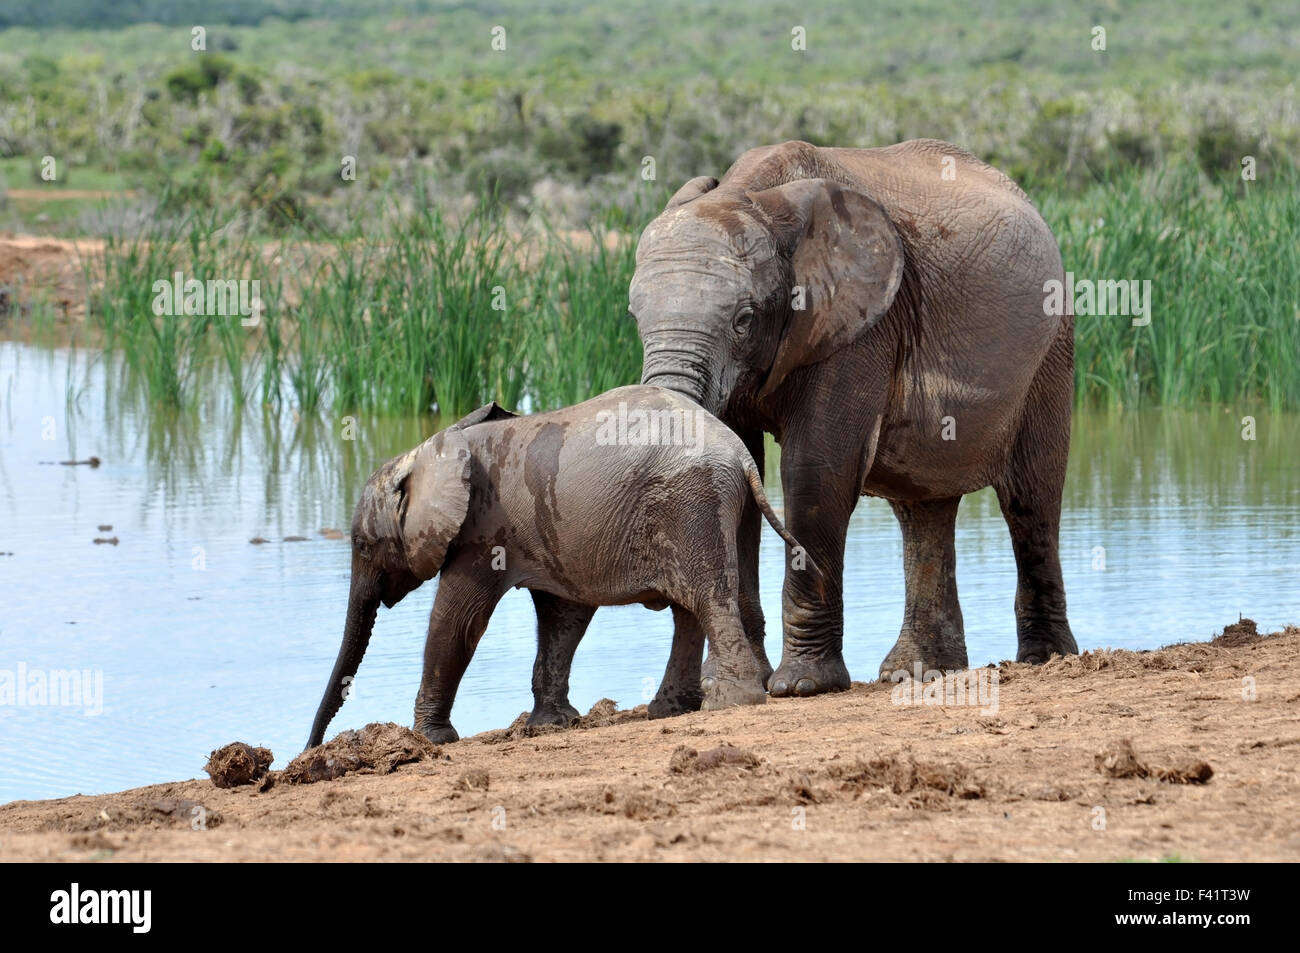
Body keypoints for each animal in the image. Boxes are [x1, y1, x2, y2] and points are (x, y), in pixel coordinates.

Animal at [306, 384, 816, 750]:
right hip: (718, 508)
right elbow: (561, 620)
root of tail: (740, 453)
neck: (428, 450)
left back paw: (728, 702)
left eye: (362, 544)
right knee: (692, 607)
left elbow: (460, 621)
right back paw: (670, 710)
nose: (307, 750)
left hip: (691, 502)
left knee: (707, 598)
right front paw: (552, 724)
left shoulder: (482, 531)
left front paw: (432, 739)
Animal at [628, 138, 1078, 697]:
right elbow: (740, 479)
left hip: (1052, 348)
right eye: (633, 317)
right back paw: (918, 672)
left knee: (1031, 499)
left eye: (743, 320)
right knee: (922, 508)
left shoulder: (861, 327)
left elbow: (816, 470)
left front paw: (802, 686)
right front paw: (726, 686)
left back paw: (1045, 659)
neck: (754, 196)